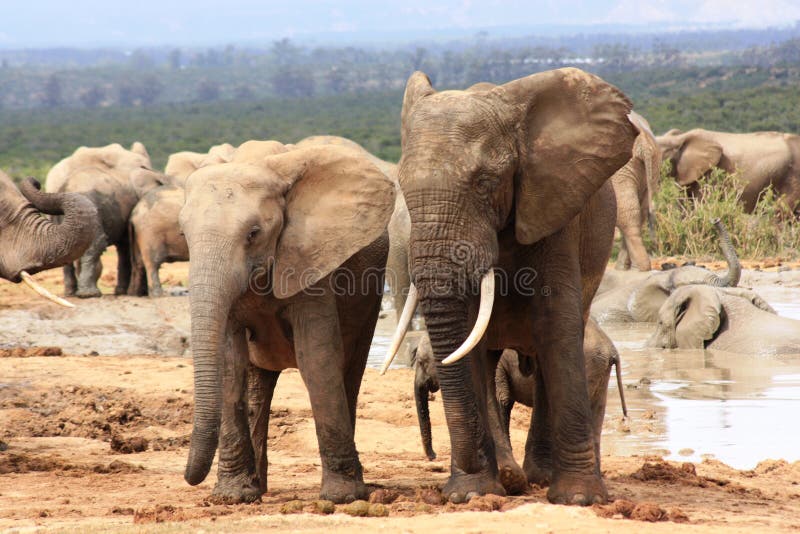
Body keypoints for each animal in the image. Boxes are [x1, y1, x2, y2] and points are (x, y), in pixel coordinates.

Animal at [179, 141, 396, 504]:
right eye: (183, 234)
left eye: (253, 234)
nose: (188, 478)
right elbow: (230, 362)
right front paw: (232, 497)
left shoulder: (311, 259)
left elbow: (316, 357)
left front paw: (341, 497)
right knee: (258, 383)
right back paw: (258, 488)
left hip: (370, 291)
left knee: (350, 369)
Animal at [413, 319, 627, 465]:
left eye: (421, 362)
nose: (433, 456)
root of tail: (613, 350)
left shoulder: (499, 368)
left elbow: (502, 400)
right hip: (599, 371)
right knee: (597, 414)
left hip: (589, 366)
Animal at [612, 111, 661, 271]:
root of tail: (644, 142)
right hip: (652, 167)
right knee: (640, 211)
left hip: (622, 167)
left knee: (626, 212)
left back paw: (635, 268)